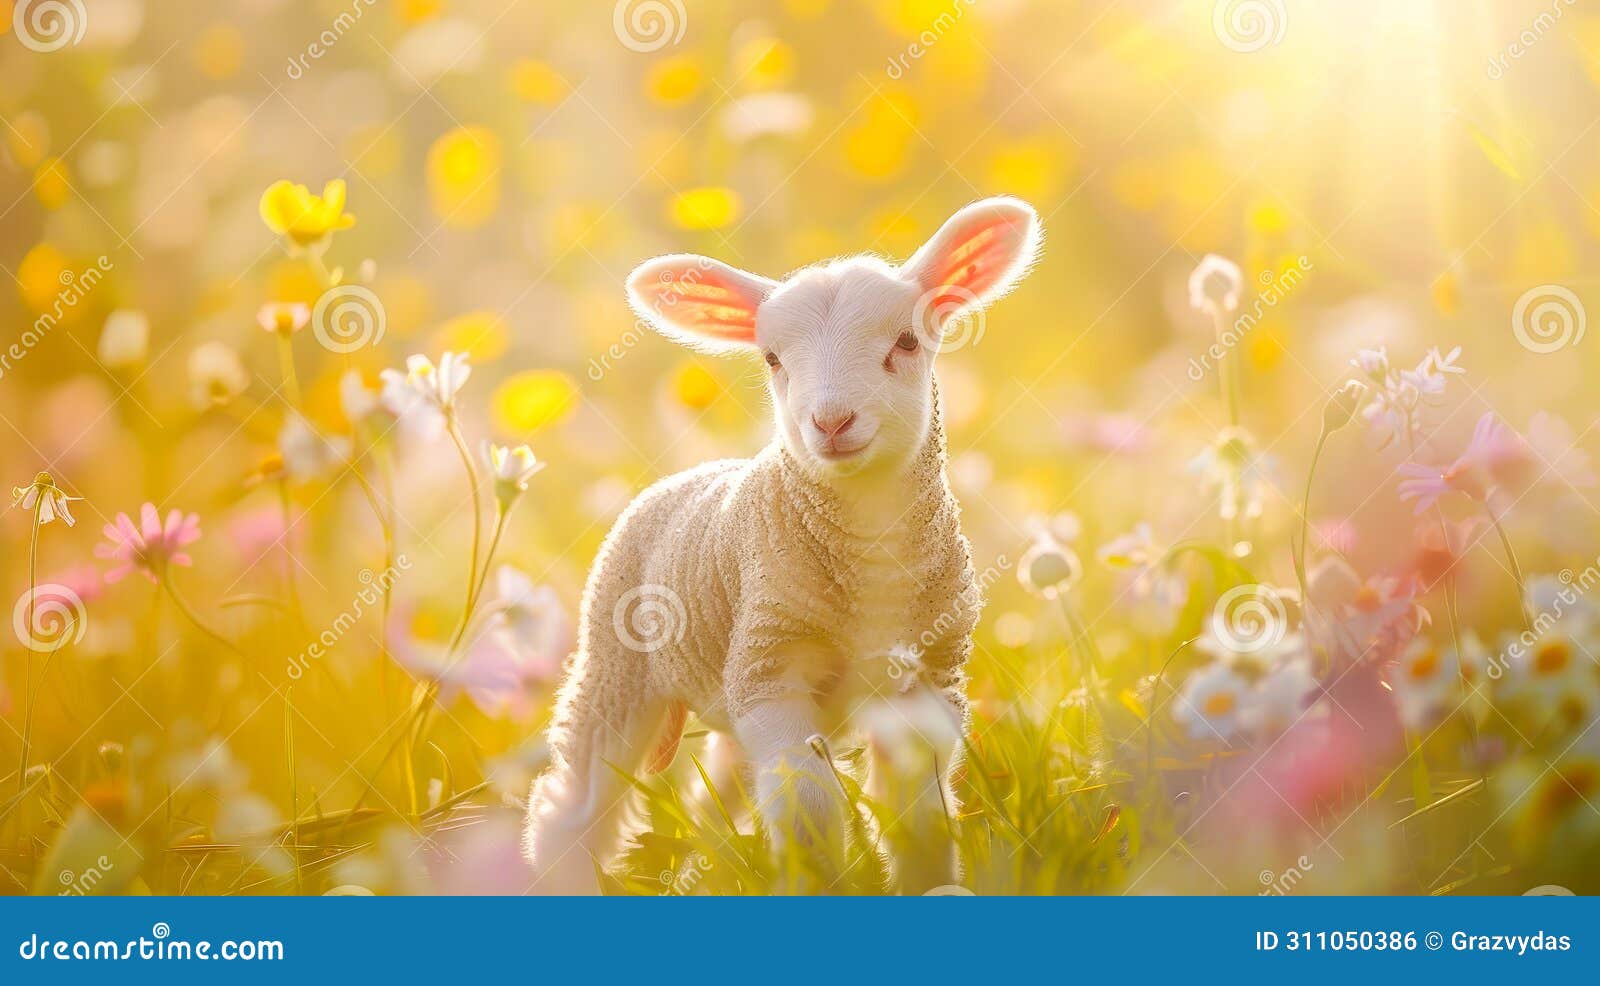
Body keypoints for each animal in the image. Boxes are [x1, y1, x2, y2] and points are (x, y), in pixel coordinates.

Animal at [524, 196, 1042, 894]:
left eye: (907, 341)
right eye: (772, 359)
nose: (831, 421)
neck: (866, 557)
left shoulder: (928, 674)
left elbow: (919, 810)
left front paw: (931, 880)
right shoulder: (772, 668)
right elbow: (810, 804)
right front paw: (816, 879)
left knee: (716, 790)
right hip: (617, 667)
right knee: (574, 801)